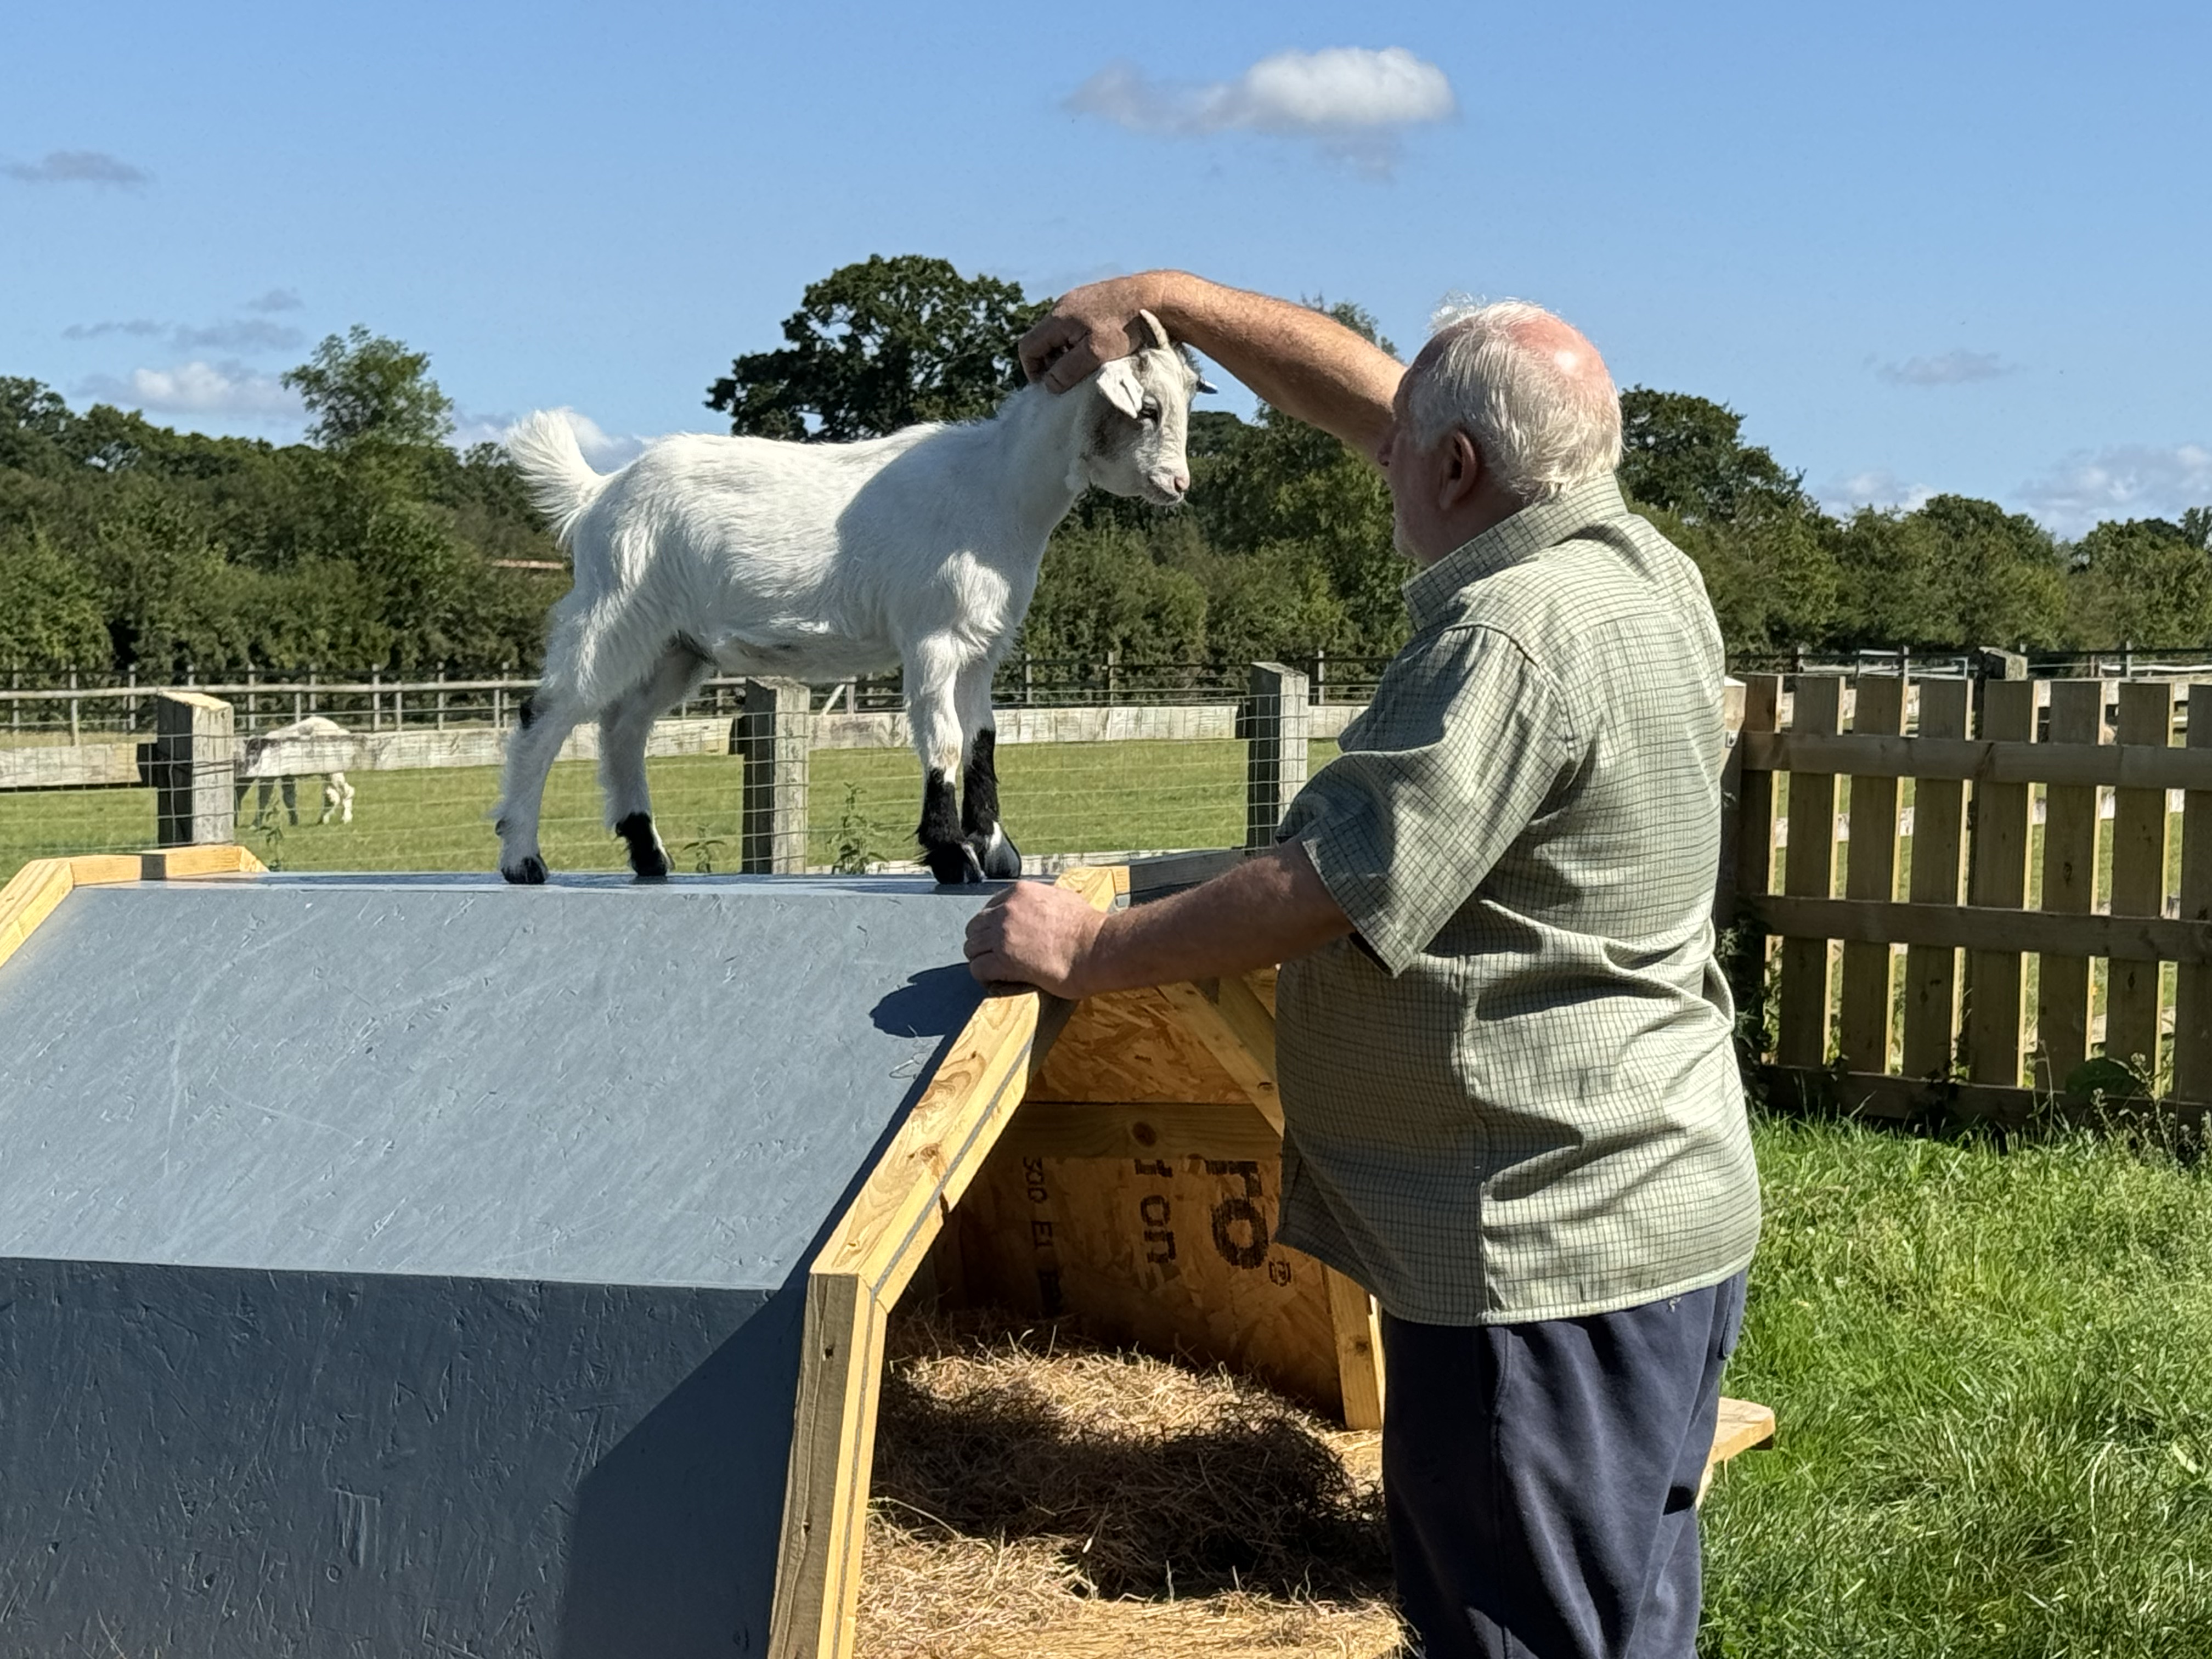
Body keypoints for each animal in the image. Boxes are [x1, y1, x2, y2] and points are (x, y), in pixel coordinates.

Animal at [494, 313, 1201, 885]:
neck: (999, 487)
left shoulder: (982, 646)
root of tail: (598, 493)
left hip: (675, 644)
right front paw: (952, 857)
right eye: (1147, 409)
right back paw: (523, 858)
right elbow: (945, 741)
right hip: (616, 609)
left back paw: (649, 856)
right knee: (546, 715)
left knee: (623, 727)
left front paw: (997, 852)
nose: (1178, 484)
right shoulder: (933, 638)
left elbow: (983, 740)